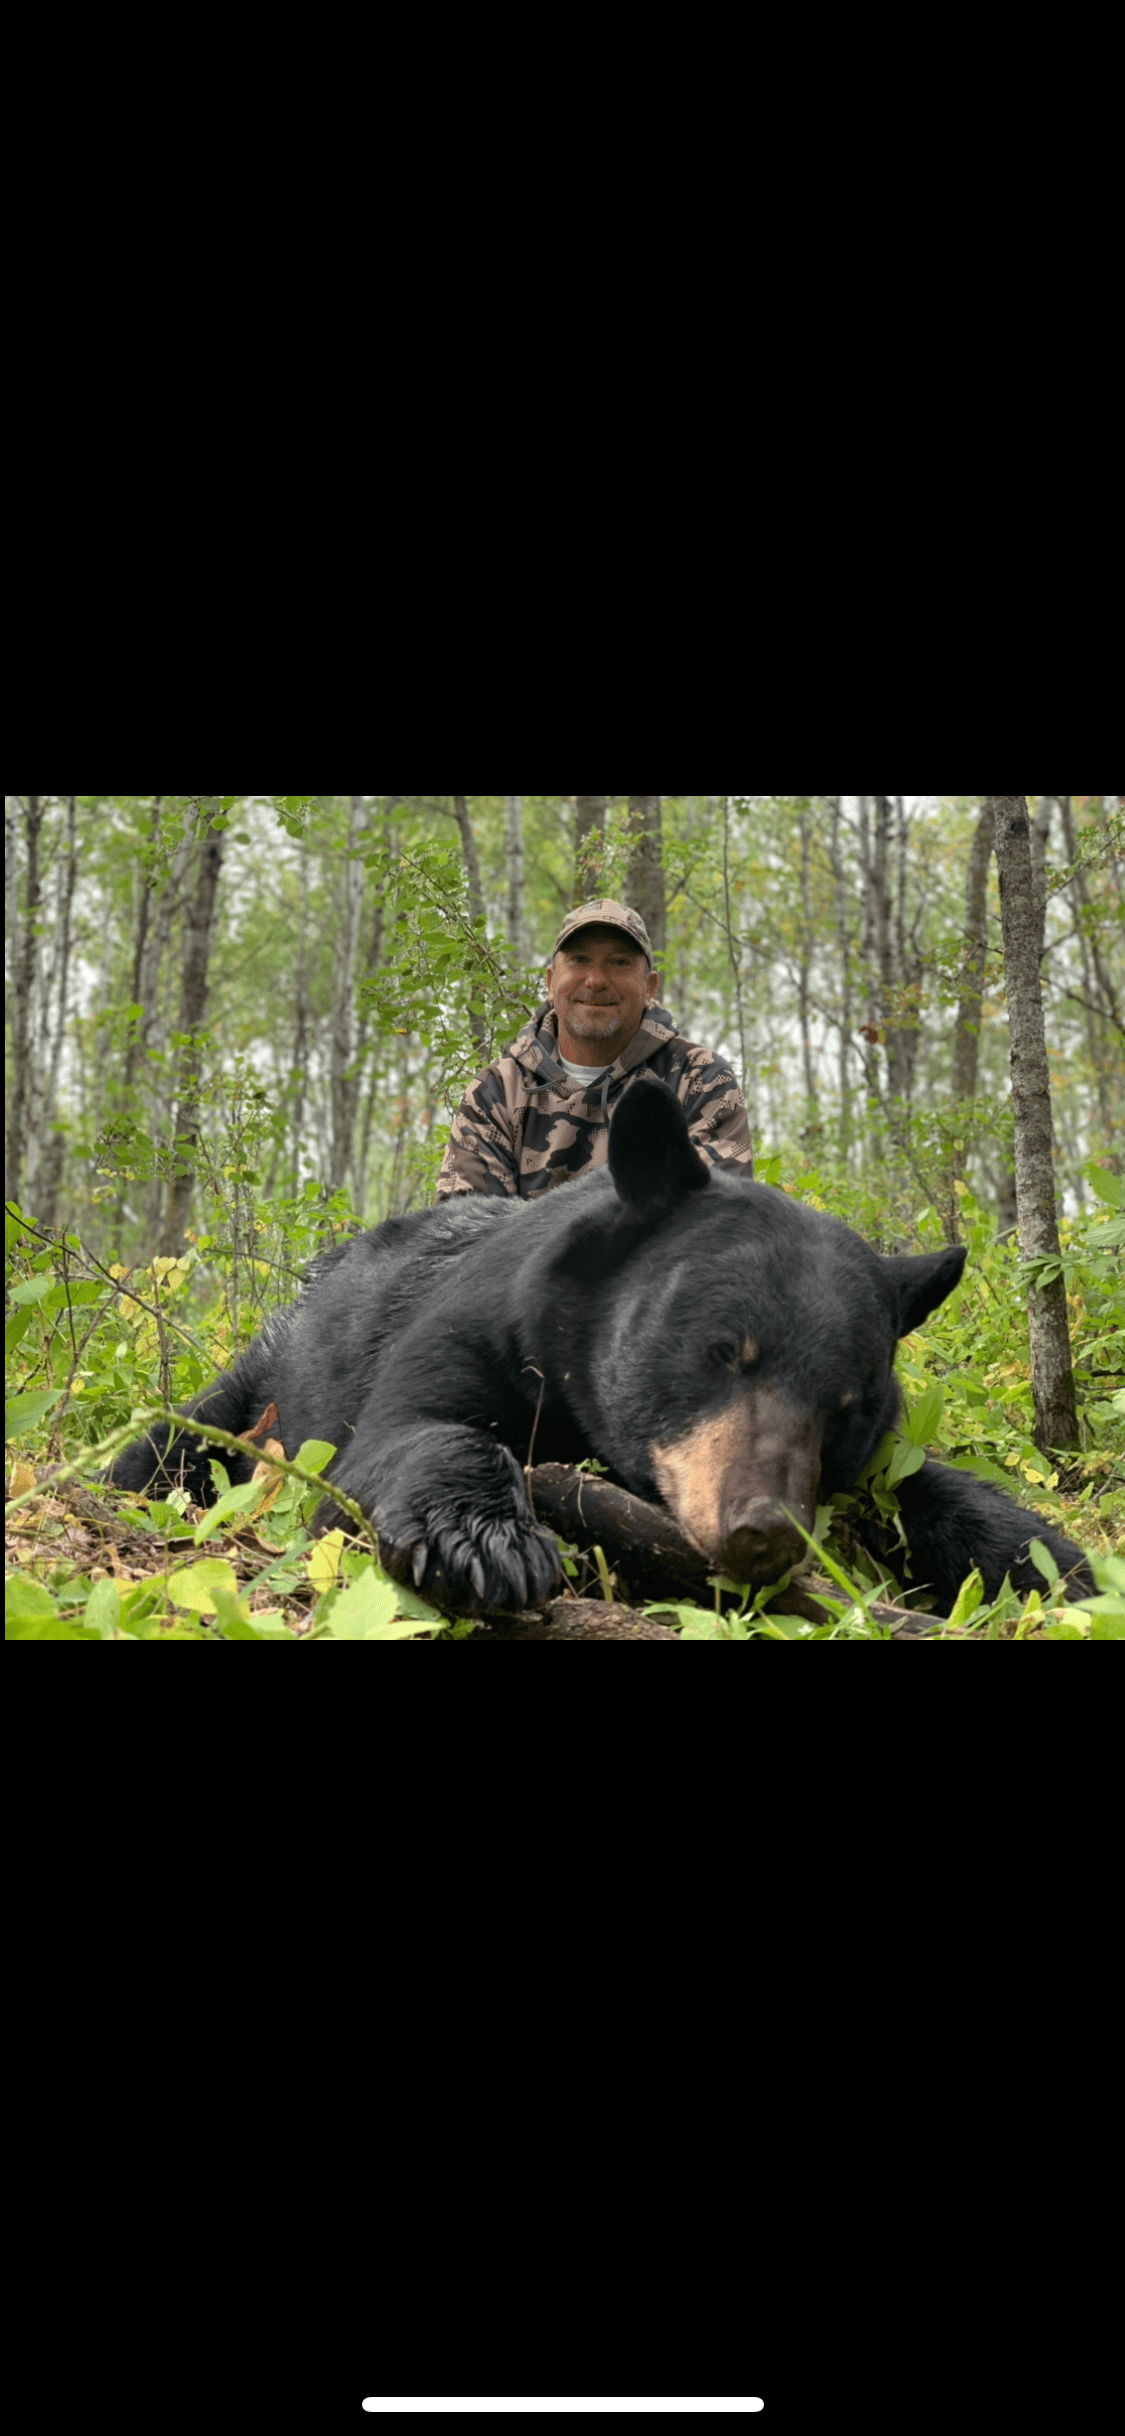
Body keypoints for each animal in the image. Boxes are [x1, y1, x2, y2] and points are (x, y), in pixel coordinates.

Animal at [109, 1079, 1095, 1618]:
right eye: (722, 1350)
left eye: (847, 1405)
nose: (762, 1530)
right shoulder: (481, 1332)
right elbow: (404, 1436)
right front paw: (486, 1543)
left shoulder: (869, 1458)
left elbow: (934, 1488)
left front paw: (1064, 1567)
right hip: (259, 1381)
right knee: (173, 1441)